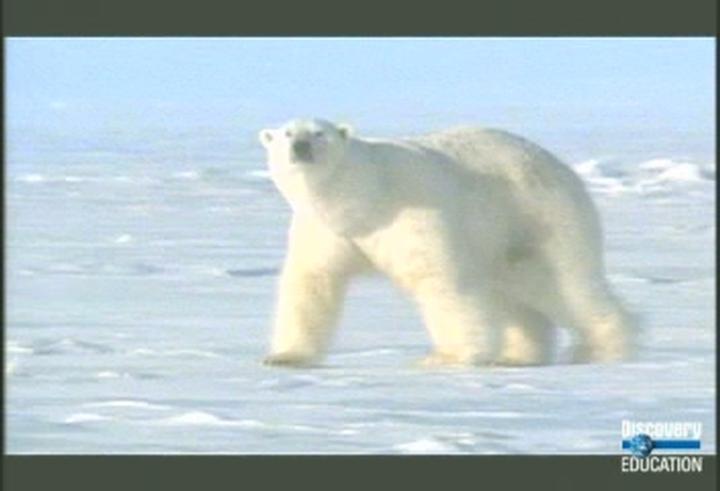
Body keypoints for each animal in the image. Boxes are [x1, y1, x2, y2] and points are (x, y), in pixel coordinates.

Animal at [258, 118, 636, 367]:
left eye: (318, 133)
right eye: (287, 133)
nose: (301, 147)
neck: (364, 197)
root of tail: (562, 167)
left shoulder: (415, 213)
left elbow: (441, 280)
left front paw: (448, 356)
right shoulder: (326, 231)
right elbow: (312, 284)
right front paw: (284, 356)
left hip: (542, 217)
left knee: (563, 283)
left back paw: (604, 349)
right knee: (515, 294)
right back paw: (517, 356)